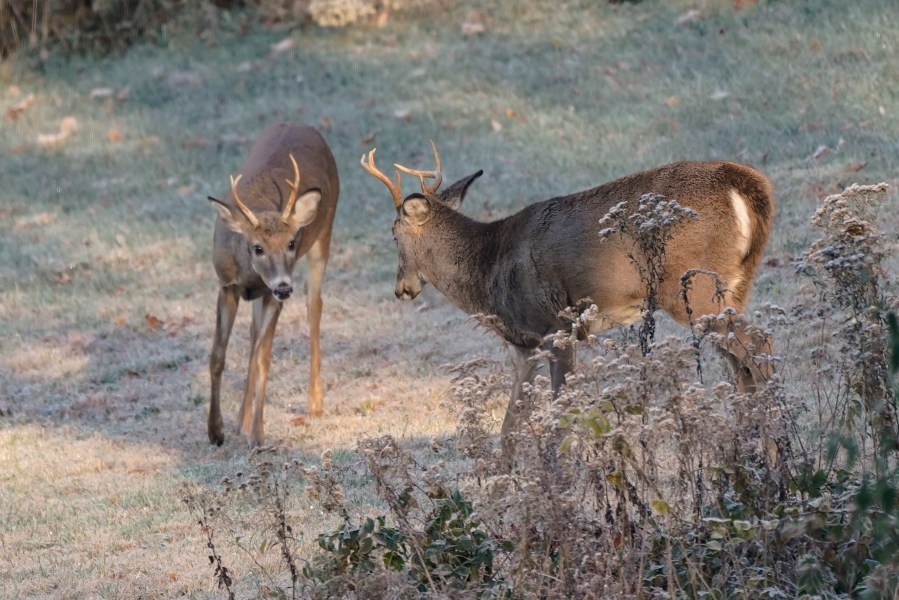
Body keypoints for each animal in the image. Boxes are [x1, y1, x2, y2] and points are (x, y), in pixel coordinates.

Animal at [207, 123, 339, 447]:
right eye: (257, 248)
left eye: (291, 243)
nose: (283, 287)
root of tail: (301, 124)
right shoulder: (227, 286)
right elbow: (218, 355)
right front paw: (216, 431)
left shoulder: (271, 296)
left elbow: (264, 357)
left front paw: (258, 434)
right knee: (254, 334)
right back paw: (240, 420)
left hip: (324, 233)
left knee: (314, 305)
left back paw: (315, 403)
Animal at [361, 142, 775, 466]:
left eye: (393, 234)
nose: (402, 289)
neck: (487, 269)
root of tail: (745, 184)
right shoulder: (525, 346)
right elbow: (510, 425)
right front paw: (509, 482)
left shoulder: (556, 328)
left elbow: (561, 411)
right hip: (732, 285)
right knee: (740, 362)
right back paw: (751, 442)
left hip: (691, 285)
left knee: (757, 343)